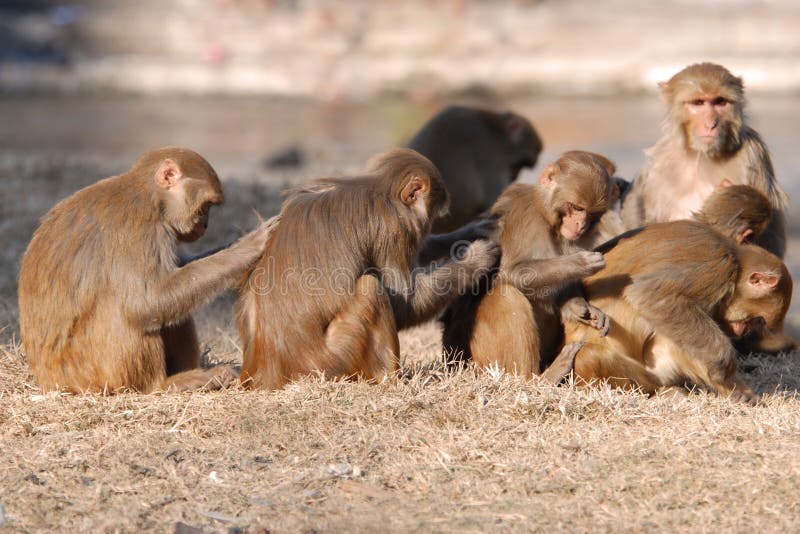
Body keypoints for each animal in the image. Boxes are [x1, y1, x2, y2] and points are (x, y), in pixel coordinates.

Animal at [18, 147, 278, 394]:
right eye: (206, 207)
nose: (205, 225)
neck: (150, 196)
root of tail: (49, 380)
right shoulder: (137, 230)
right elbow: (145, 303)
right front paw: (249, 247)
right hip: (91, 371)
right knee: (127, 309)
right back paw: (162, 384)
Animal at [236, 148, 498, 390]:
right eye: (433, 215)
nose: (427, 225)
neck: (378, 188)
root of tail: (266, 371)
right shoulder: (393, 229)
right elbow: (405, 304)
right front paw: (476, 259)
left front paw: (467, 233)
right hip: (332, 362)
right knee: (371, 286)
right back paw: (391, 380)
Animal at [441, 151, 616, 378]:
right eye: (577, 208)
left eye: (592, 214)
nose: (581, 225)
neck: (548, 220)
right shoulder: (527, 220)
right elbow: (509, 273)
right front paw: (578, 263)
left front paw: (581, 307)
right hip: (483, 356)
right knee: (507, 295)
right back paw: (542, 377)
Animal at [559, 220, 793, 402]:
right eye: (757, 320)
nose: (744, 331)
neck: (736, 262)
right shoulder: (715, 266)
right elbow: (651, 295)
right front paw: (725, 373)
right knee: (590, 356)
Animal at [621, 62, 787, 257]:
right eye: (698, 103)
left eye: (720, 102)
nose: (711, 124)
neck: (701, 155)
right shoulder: (659, 167)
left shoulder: (753, 155)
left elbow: (771, 243)